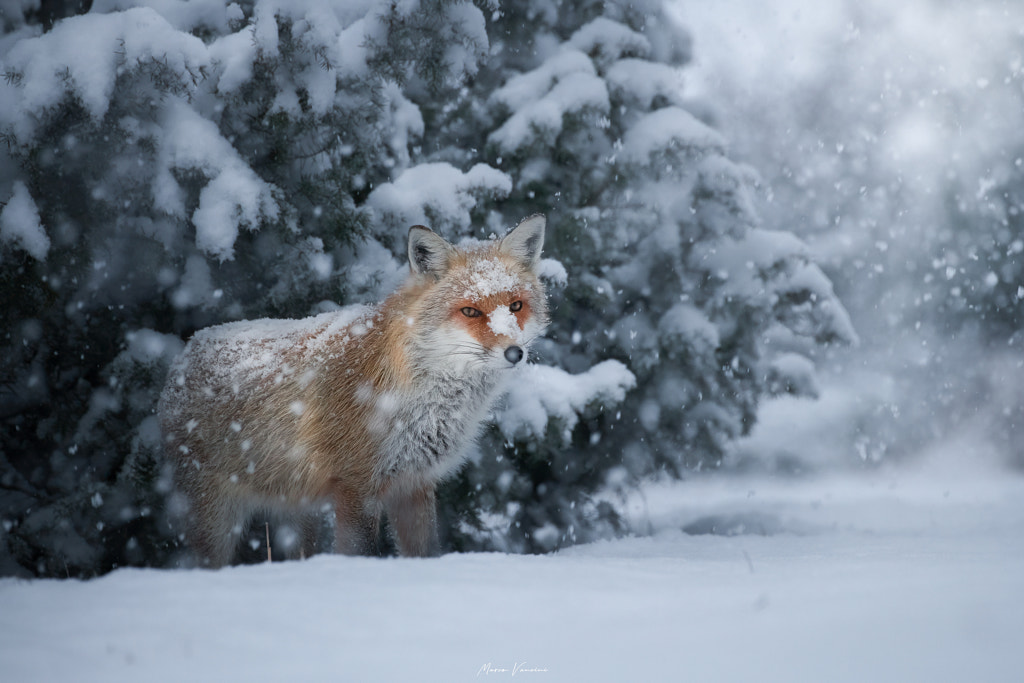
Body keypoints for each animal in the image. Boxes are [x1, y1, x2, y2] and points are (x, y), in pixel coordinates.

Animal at [159, 214, 548, 567]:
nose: (515, 353)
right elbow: (360, 554)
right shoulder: (356, 486)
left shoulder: (414, 485)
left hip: (296, 513)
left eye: (515, 306)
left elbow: (425, 552)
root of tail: (187, 350)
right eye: (470, 311)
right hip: (216, 520)